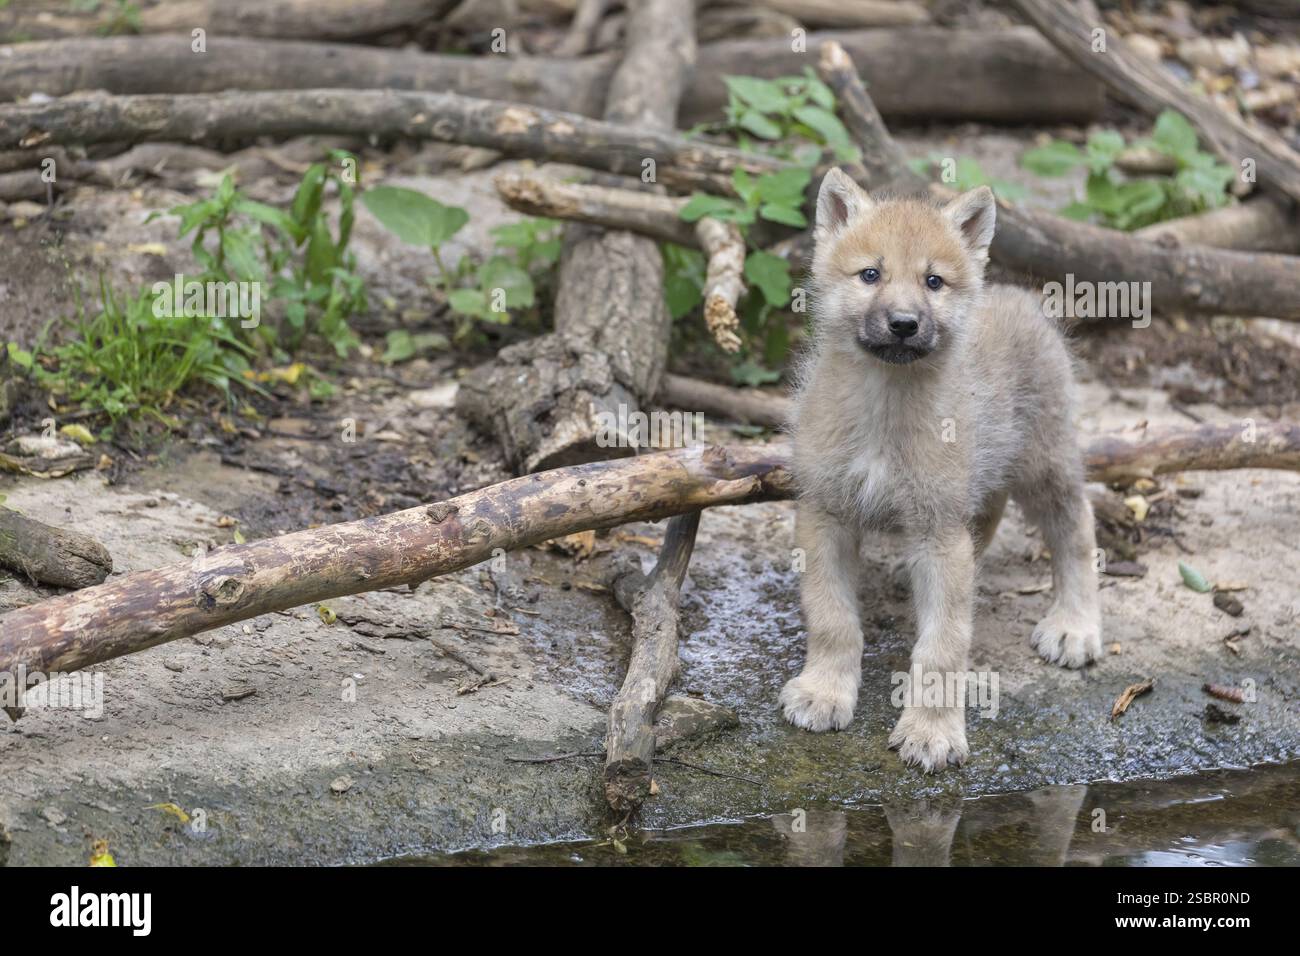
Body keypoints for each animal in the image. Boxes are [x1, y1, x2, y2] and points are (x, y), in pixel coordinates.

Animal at [781, 168, 1102, 772]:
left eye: (933, 282)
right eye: (871, 274)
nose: (904, 324)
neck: (886, 408)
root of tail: (1019, 296)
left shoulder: (938, 532)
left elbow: (943, 647)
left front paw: (931, 731)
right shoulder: (826, 515)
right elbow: (832, 618)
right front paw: (824, 690)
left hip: (1043, 467)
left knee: (1077, 528)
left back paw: (1075, 625)